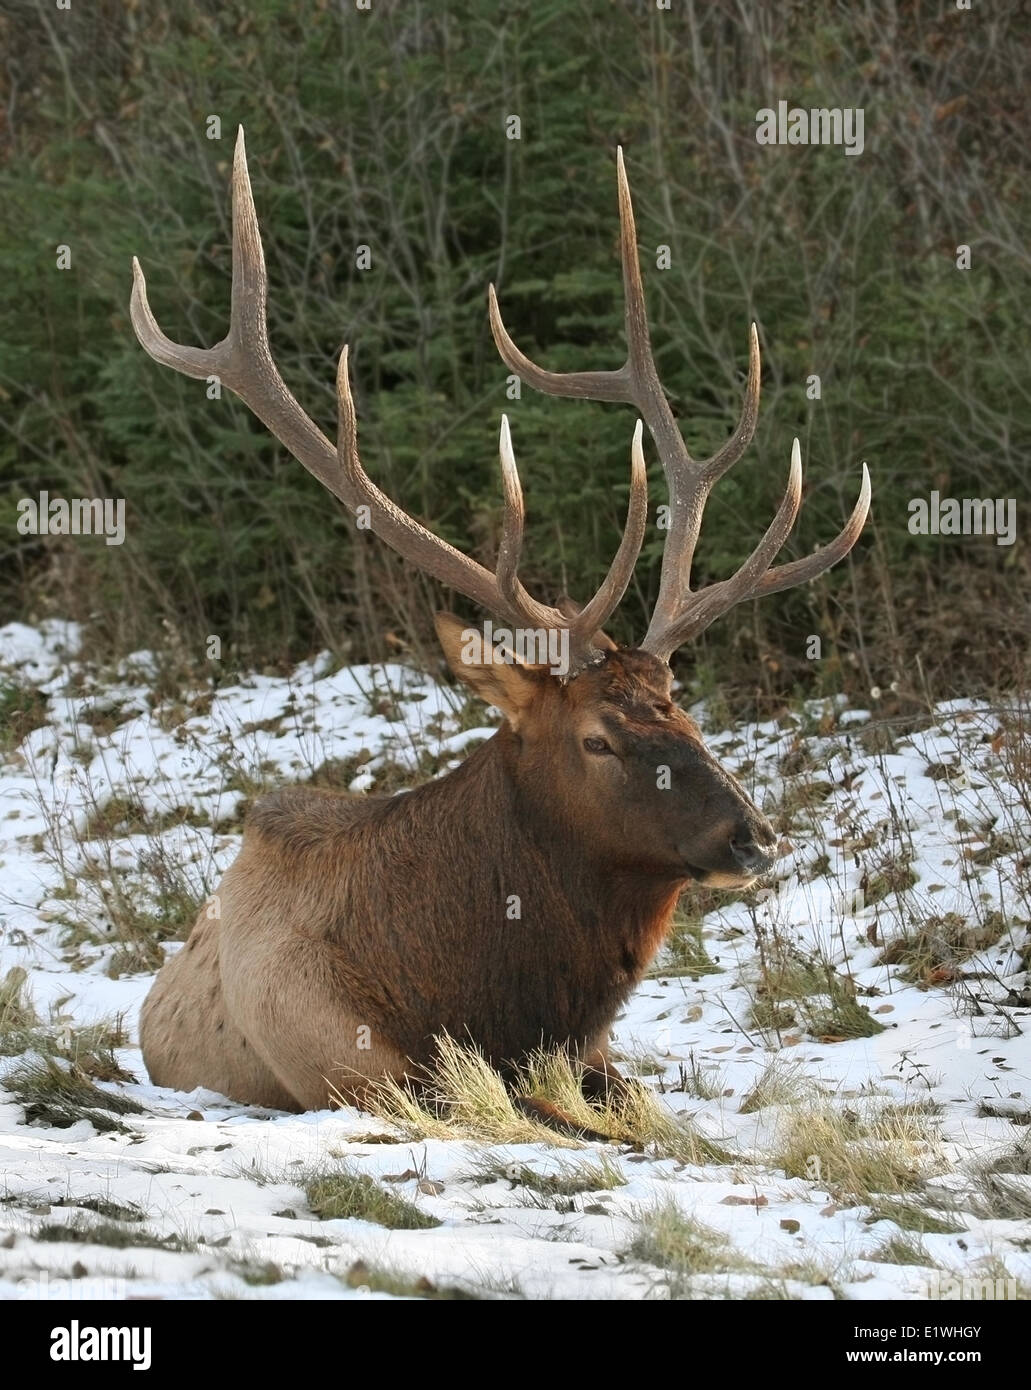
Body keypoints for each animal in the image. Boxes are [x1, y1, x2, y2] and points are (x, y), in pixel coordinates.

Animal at [131, 131, 869, 1123]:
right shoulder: (350, 1072)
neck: (480, 999)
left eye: (682, 707)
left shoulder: (596, 1056)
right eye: (597, 739)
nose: (755, 834)